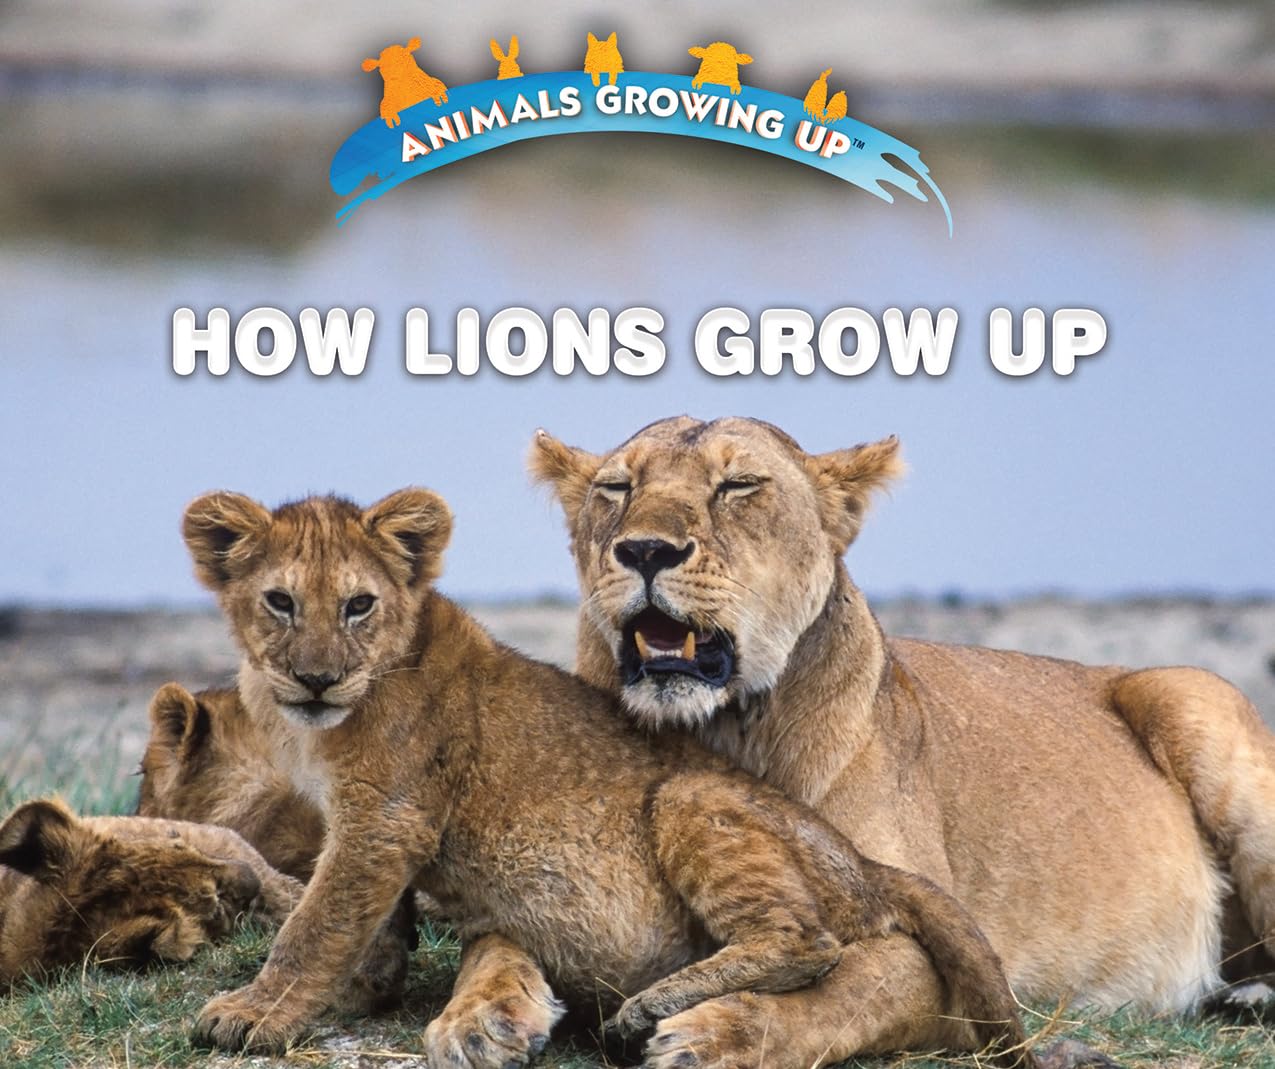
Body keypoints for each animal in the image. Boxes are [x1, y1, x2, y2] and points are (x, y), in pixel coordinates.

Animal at [179, 487, 1032, 1066]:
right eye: (279, 601)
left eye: (358, 604)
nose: (316, 679)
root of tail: (865, 864)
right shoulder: (364, 822)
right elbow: (371, 921)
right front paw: (361, 987)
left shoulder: (385, 815)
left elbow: (315, 923)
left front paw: (255, 1013)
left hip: (691, 794)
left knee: (803, 938)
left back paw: (648, 1008)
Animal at [526, 415, 1275, 1068]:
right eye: (616, 488)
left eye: (738, 485)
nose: (645, 550)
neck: (722, 725)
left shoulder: (948, 947)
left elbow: (843, 994)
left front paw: (711, 1036)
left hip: (1192, 700)